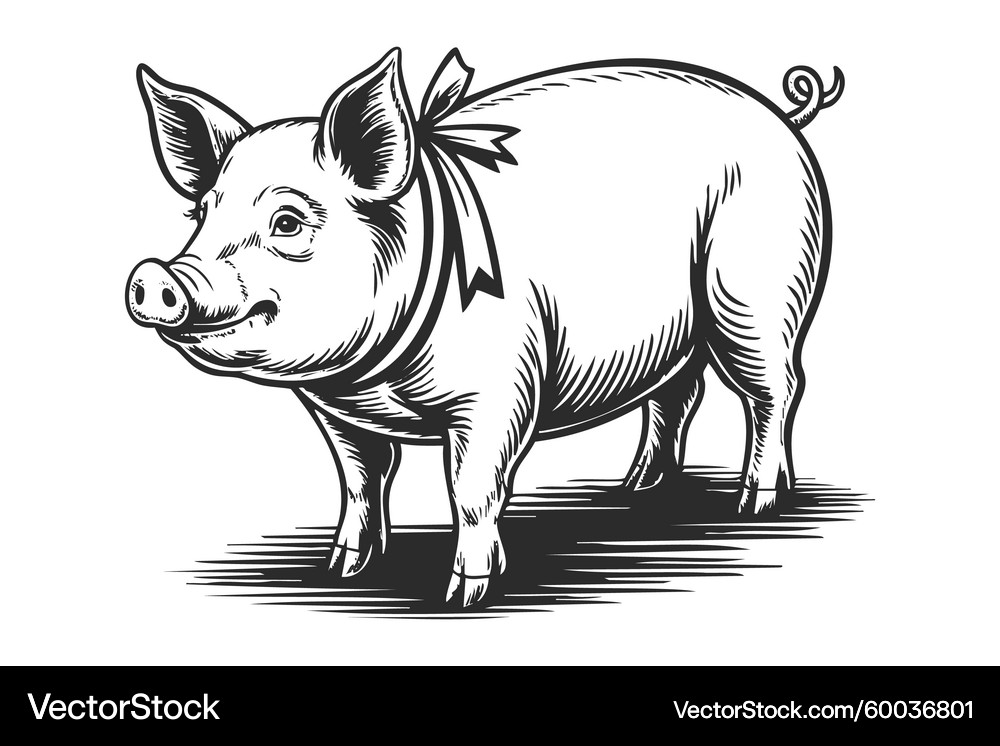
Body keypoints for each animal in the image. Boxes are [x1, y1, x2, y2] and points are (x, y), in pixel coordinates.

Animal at [127, 49, 842, 607]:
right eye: (201, 213)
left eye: (287, 222)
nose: (157, 276)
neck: (373, 382)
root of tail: (782, 117)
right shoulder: (338, 414)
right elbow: (360, 481)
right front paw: (341, 572)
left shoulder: (502, 390)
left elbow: (470, 491)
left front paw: (461, 596)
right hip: (679, 332)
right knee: (677, 395)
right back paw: (636, 489)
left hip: (757, 294)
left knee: (776, 391)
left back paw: (754, 507)